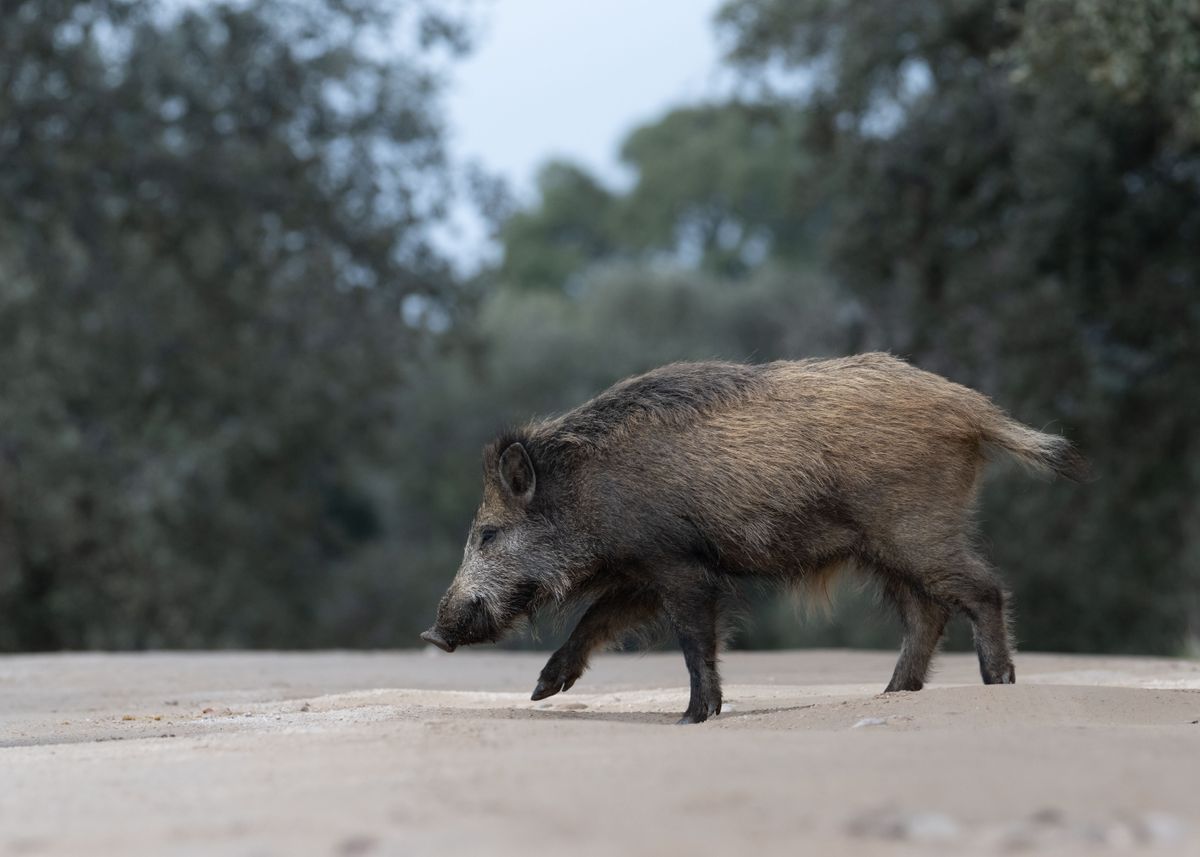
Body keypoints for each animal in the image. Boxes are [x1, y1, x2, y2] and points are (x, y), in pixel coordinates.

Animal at [421, 353, 1087, 724]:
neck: (586, 493)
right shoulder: (644, 571)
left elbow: (693, 639)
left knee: (983, 590)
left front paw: (693, 719)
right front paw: (541, 692)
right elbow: (597, 619)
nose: (433, 634)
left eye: (487, 534)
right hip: (884, 549)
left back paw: (996, 683)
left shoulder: (679, 565)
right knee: (927, 614)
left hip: (914, 529)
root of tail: (976, 411)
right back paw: (891, 694)